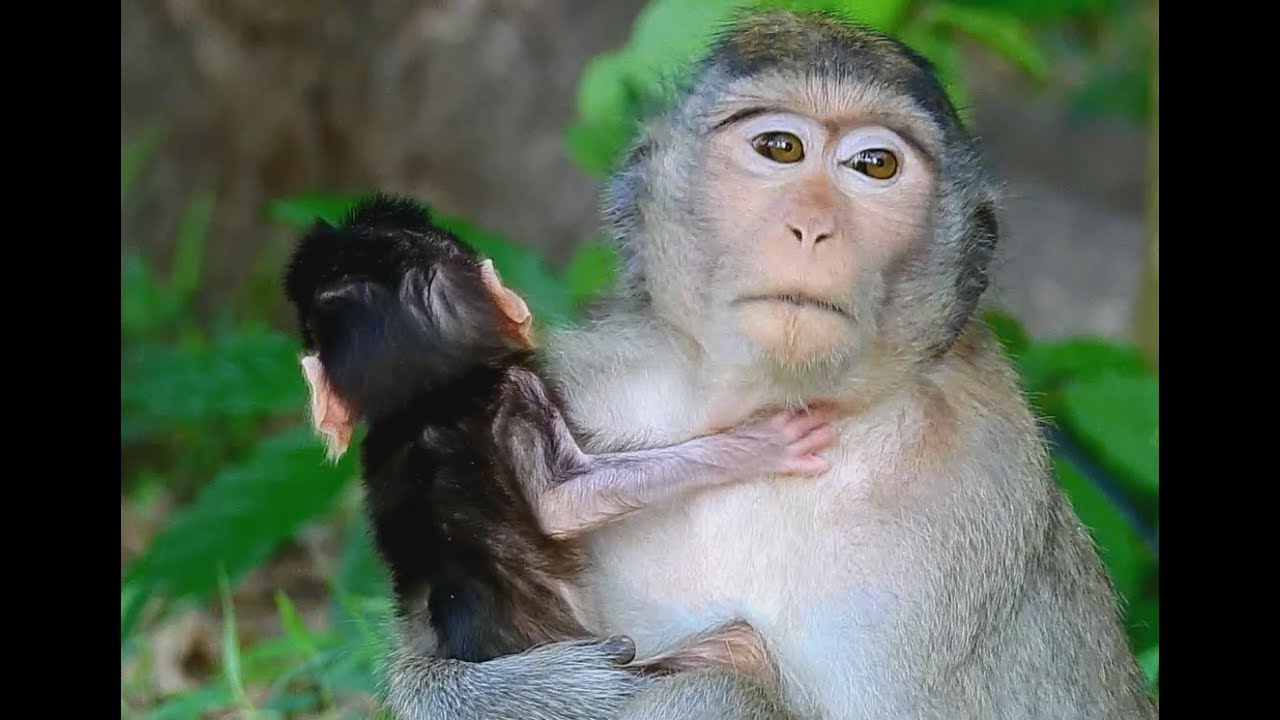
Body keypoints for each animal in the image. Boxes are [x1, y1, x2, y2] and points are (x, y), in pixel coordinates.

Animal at [374, 8, 1158, 720]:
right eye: (779, 148)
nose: (812, 226)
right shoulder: (581, 393)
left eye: (876, 165)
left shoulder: (974, 477)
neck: (770, 401)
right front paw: (540, 689)